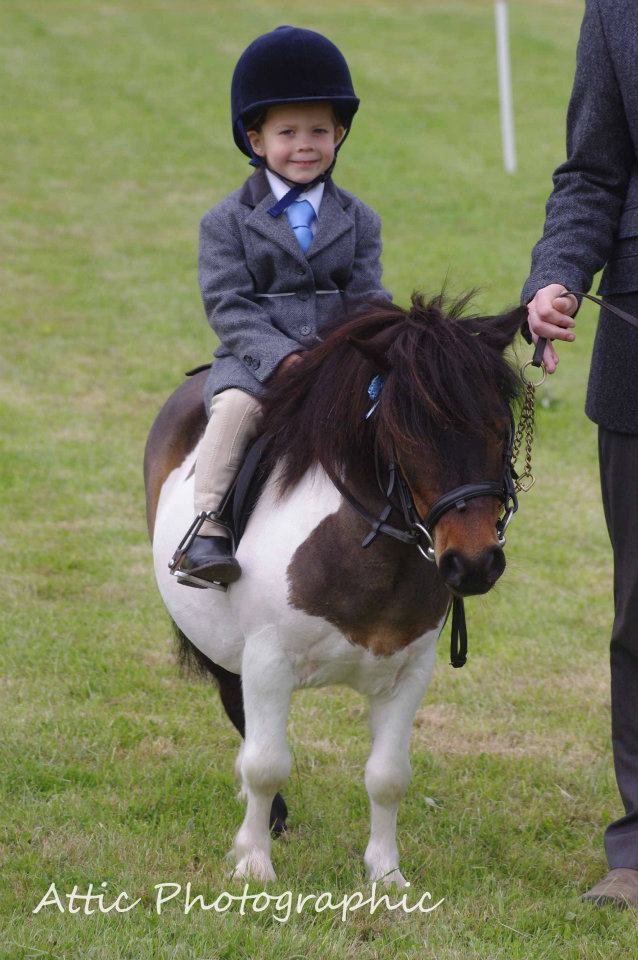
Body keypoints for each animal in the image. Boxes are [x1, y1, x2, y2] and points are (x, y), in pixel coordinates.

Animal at [144, 293, 526, 886]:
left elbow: (388, 775)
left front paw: (386, 875)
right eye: (405, 437)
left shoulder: (410, 671)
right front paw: (254, 863)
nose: (474, 564)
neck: (369, 547)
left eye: (500, 427)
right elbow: (267, 763)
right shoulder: (267, 660)